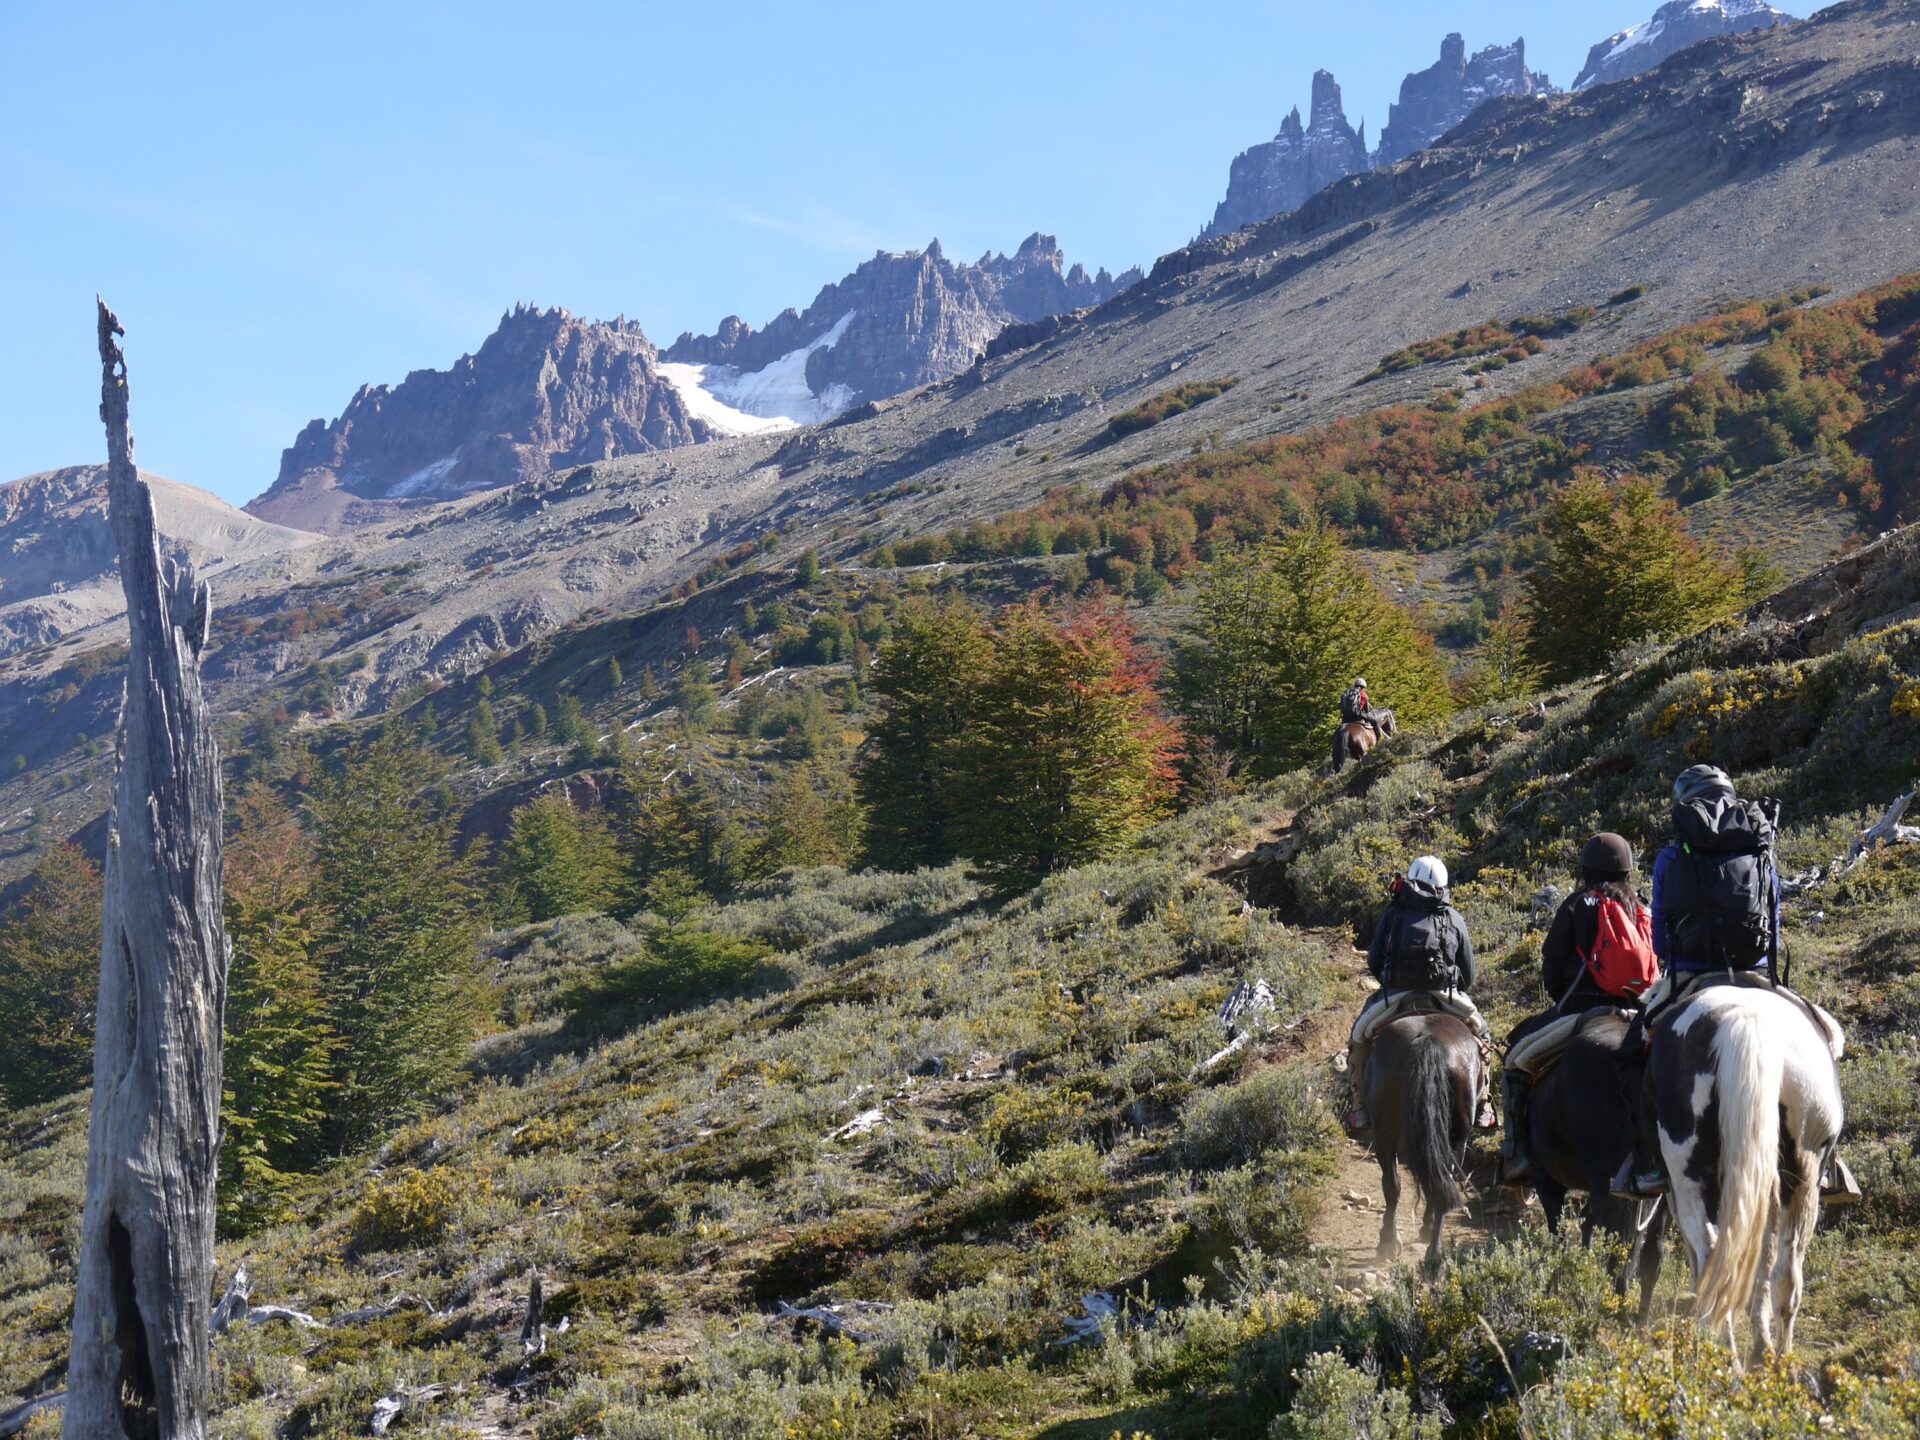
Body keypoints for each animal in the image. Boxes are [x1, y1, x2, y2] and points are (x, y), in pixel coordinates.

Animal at [1365, 1010, 1483, 1265]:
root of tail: (1427, 1040)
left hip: (1386, 1128)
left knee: (1393, 1184)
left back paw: (1389, 1243)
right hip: (1456, 1136)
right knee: (1441, 1182)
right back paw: (1433, 1252)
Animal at [1519, 1009, 1668, 1321]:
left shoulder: (1547, 1179)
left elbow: (1560, 1236)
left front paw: (1554, 1292)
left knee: (1621, 1255)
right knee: (1651, 1253)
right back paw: (1639, 1320)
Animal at [1649, 984, 1845, 1361]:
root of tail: (1745, 1020)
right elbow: (1763, 1264)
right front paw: (1761, 1338)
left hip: (1689, 1182)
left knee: (1714, 1258)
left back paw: (1727, 1357)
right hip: (1801, 1179)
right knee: (1786, 1271)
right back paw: (1777, 1358)